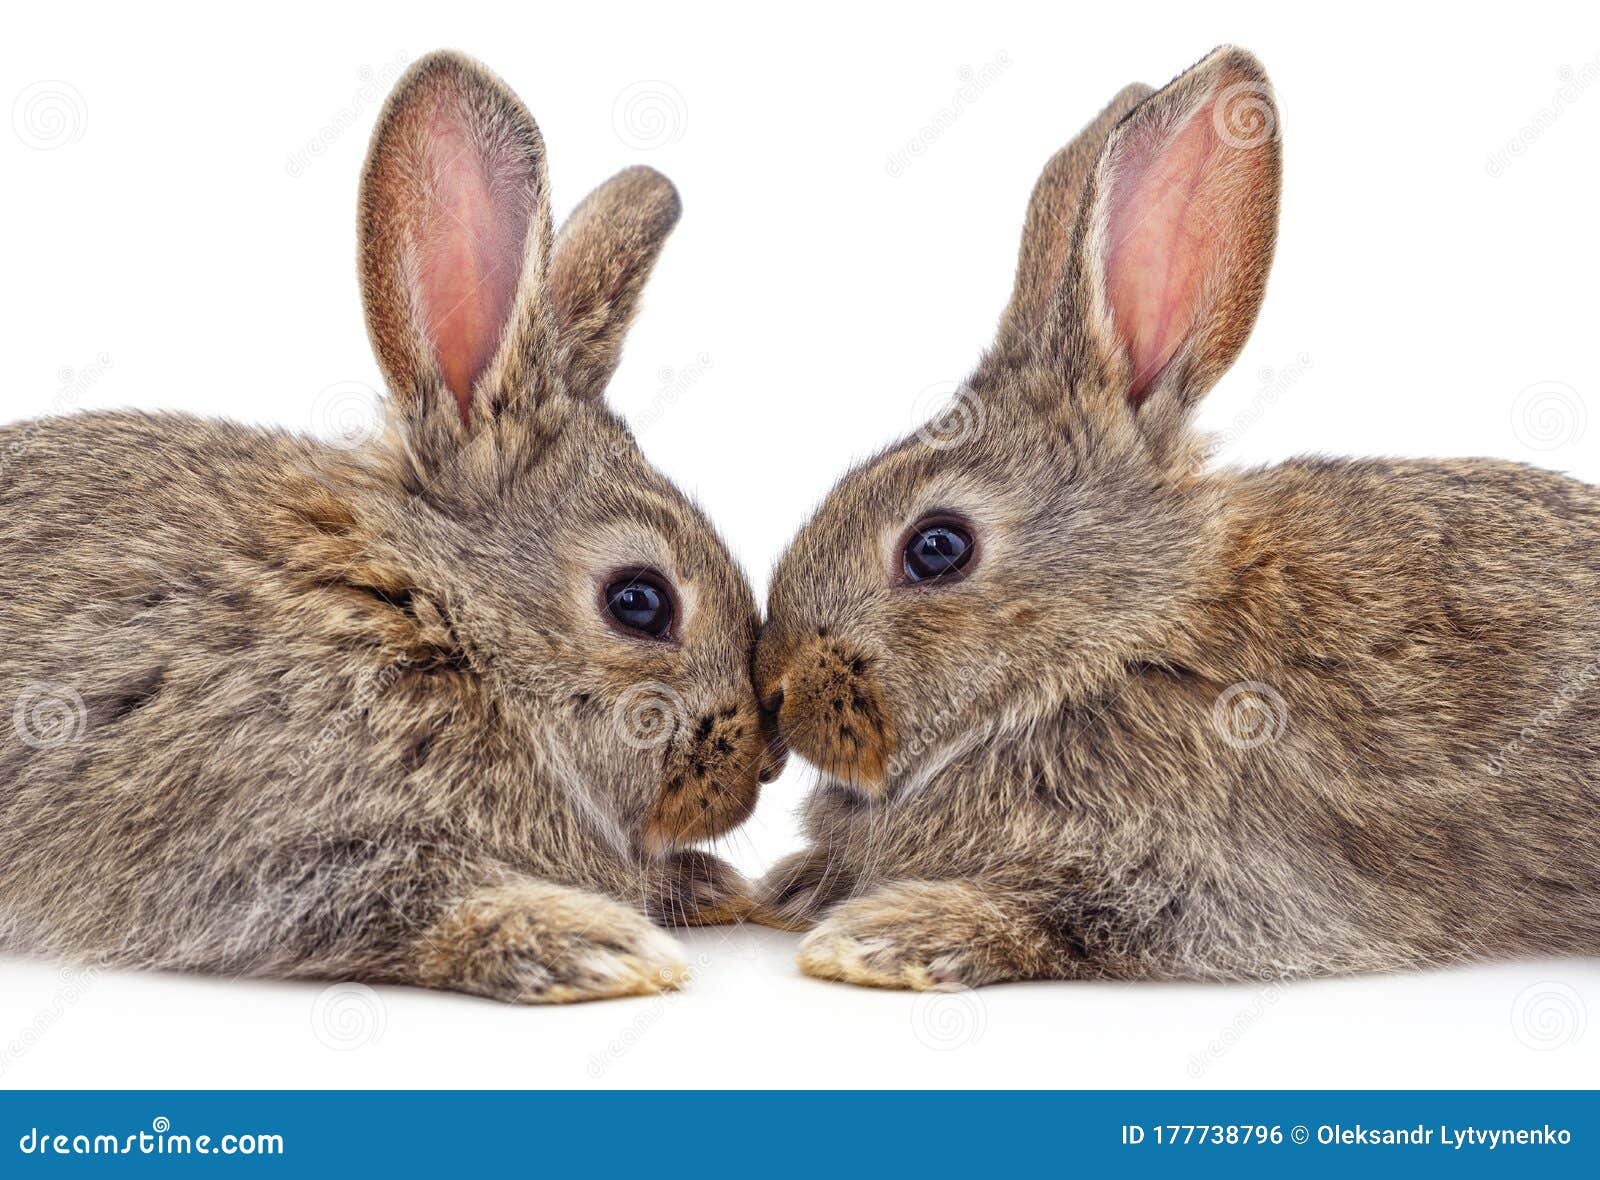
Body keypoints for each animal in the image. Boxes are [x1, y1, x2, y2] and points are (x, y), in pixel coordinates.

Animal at [0, 50, 783, 1004]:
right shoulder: (255, 849)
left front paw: (708, 887)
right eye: (639, 602)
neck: (429, 612)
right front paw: (596, 943)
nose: (764, 762)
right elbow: (400, 893)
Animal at [752, 45, 1600, 990]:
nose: (776, 686)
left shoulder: (1221, 883)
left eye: (937, 548)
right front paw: (789, 888)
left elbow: (1062, 918)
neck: (1128, 637)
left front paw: (880, 937)